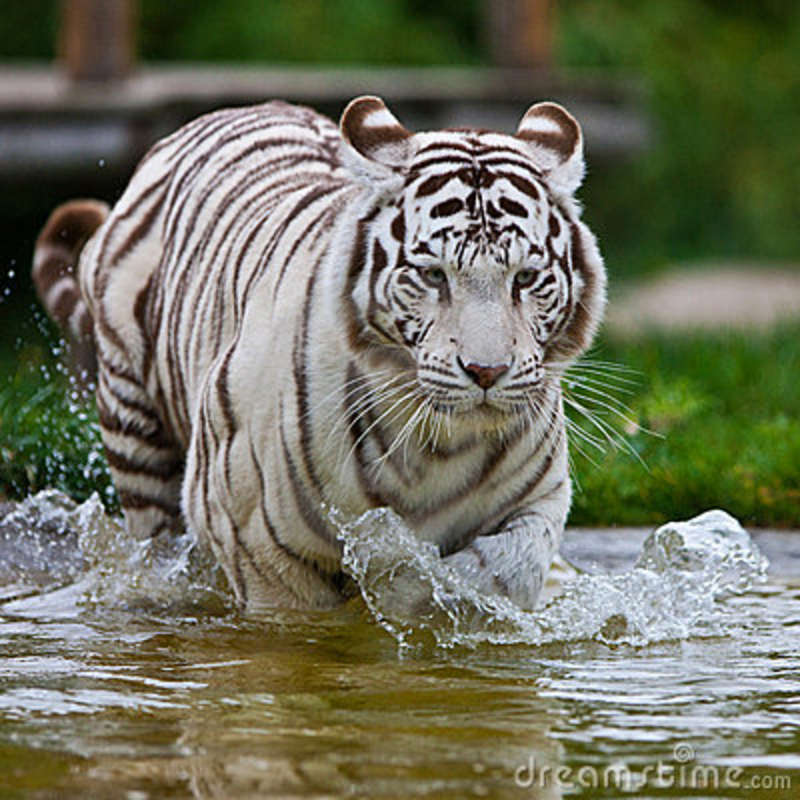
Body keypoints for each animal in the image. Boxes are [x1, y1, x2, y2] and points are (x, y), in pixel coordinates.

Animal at [32, 96, 606, 612]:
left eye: (525, 278)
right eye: (433, 275)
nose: (487, 372)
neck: (441, 447)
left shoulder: (536, 503)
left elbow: (508, 568)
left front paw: (417, 588)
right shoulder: (255, 538)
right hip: (137, 436)